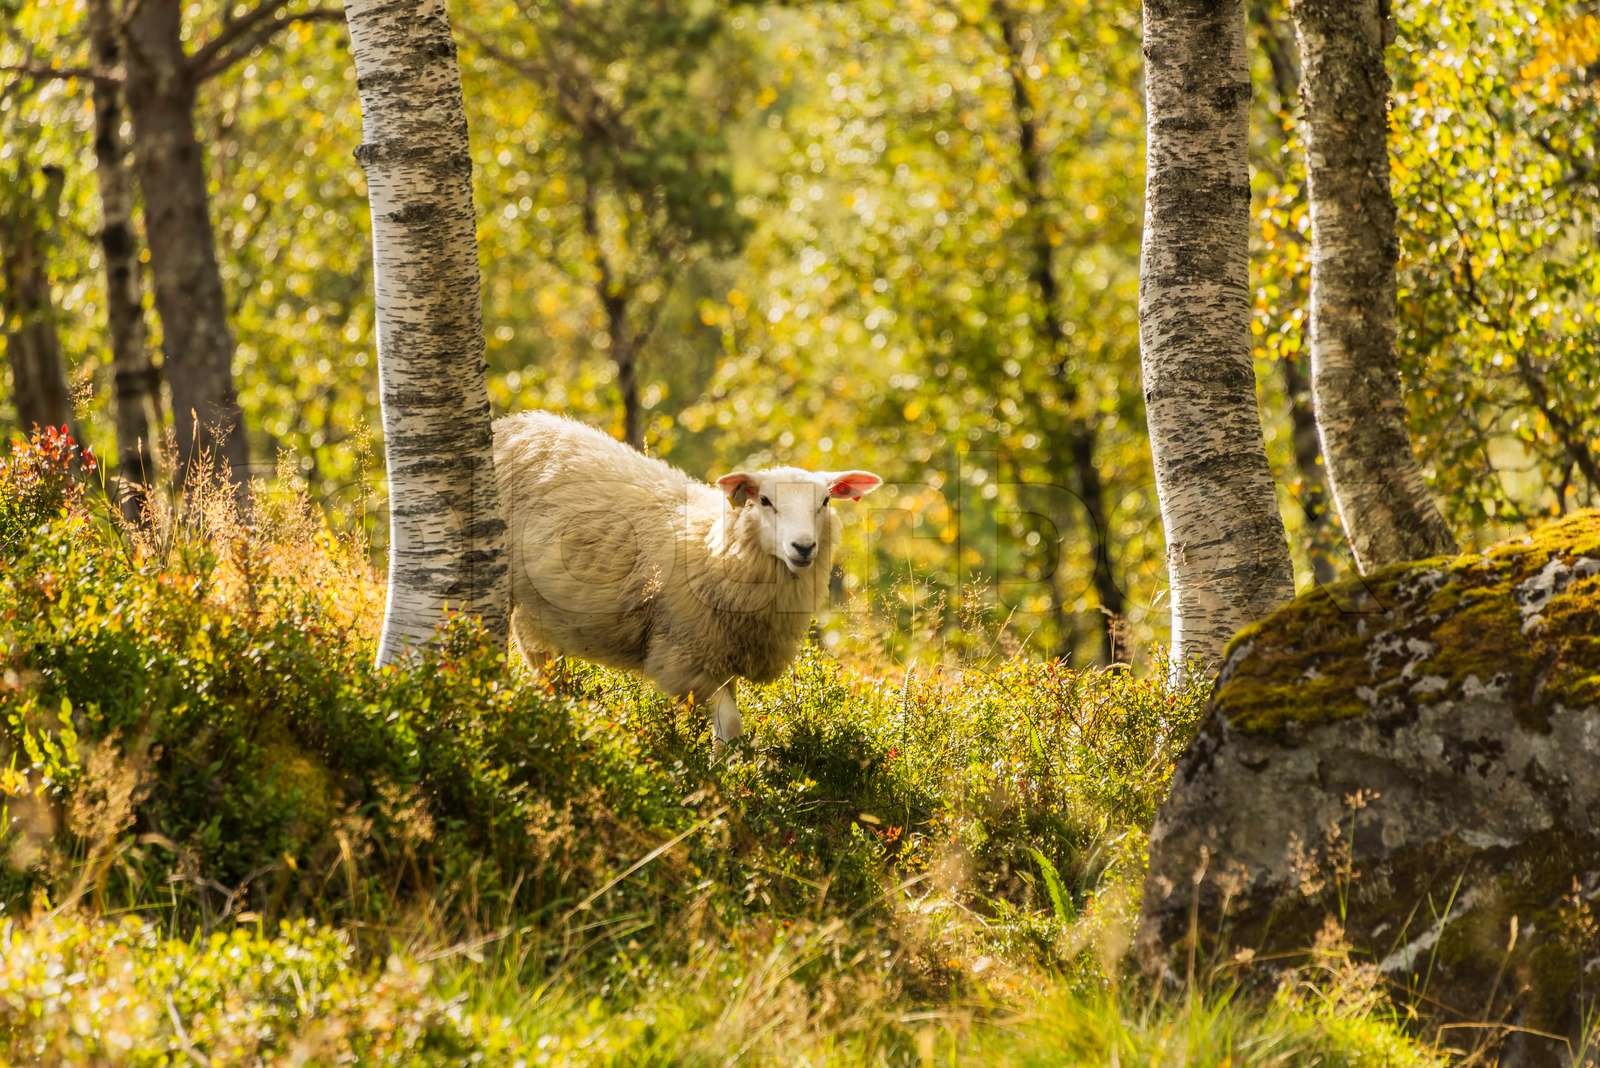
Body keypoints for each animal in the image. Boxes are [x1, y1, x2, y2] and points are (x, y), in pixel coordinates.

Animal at [493, 411, 882, 748]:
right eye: (764, 500)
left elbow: (727, 730)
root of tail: (512, 422)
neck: (715, 550)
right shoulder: (688, 658)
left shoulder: (725, 656)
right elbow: (731, 723)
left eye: (826, 501)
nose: (803, 547)